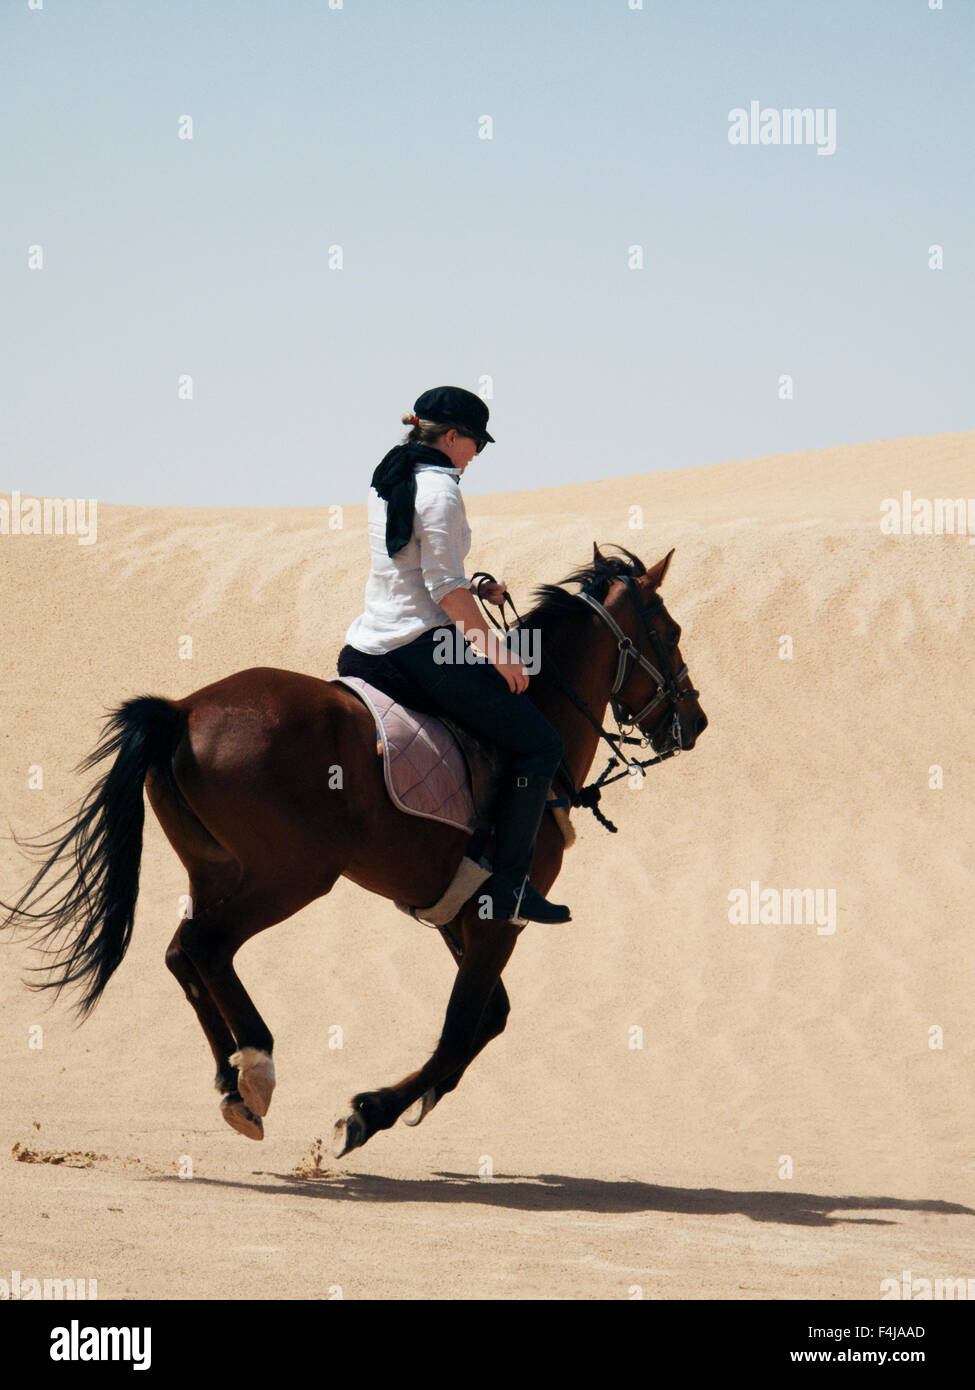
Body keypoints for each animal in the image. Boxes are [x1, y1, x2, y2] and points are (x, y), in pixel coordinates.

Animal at [2, 543, 707, 1157]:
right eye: (670, 632)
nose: (696, 722)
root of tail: (182, 709)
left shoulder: (456, 914)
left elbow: (489, 1018)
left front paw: (406, 1101)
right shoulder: (497, 915)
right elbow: (461, 1029)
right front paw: (370, 1113)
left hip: (219, 871)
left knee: (184, 953)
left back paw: (234, 1086)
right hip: (294, 876)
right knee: (206, 946)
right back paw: (256, 1064)